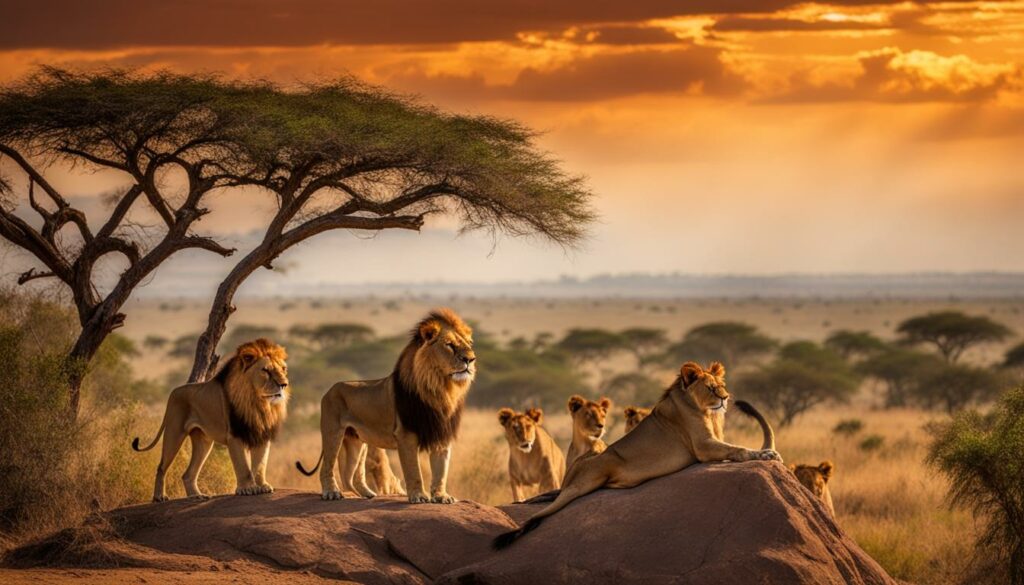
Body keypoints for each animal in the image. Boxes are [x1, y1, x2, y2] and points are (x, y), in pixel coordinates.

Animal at [132, 338, 290, 502]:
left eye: (283, 369)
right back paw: (159, 496)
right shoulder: (235, 435)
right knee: (162, 467)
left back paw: (197, 495)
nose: (284, 384)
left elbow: (260, 464)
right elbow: (243, 466)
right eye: (265, 370)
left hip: (204, 441)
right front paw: (248, 489)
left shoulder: (262, 434)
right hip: (174, 432)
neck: (259, 403)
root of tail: (174, 392)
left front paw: (263, 486)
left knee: (187, 474)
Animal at [296, 308, 475, 504]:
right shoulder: (406, 435)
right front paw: (419, 496)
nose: (471, 359)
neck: (440, 389)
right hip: (333, 432)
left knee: (351, 475)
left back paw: (368, 493)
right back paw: (331, 493)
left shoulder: (441, 432)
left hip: (357, 441)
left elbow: (441, 470)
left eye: (468, 344)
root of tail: (330, 389)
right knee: (327, 467)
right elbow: (414, 470)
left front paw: (441, 496)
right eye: (449, 345)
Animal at [494, 361, 781, 549]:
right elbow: (738, 449)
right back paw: (508, 536)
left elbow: (735, 447)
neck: (704, 410)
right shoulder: (704, 446)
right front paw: (767, 454)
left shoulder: (712, 440)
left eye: (722, 385)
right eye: (711, 388)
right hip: (587, 480)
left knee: (550, 496)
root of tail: (575, 469)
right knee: (542, 512)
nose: (726, 397)